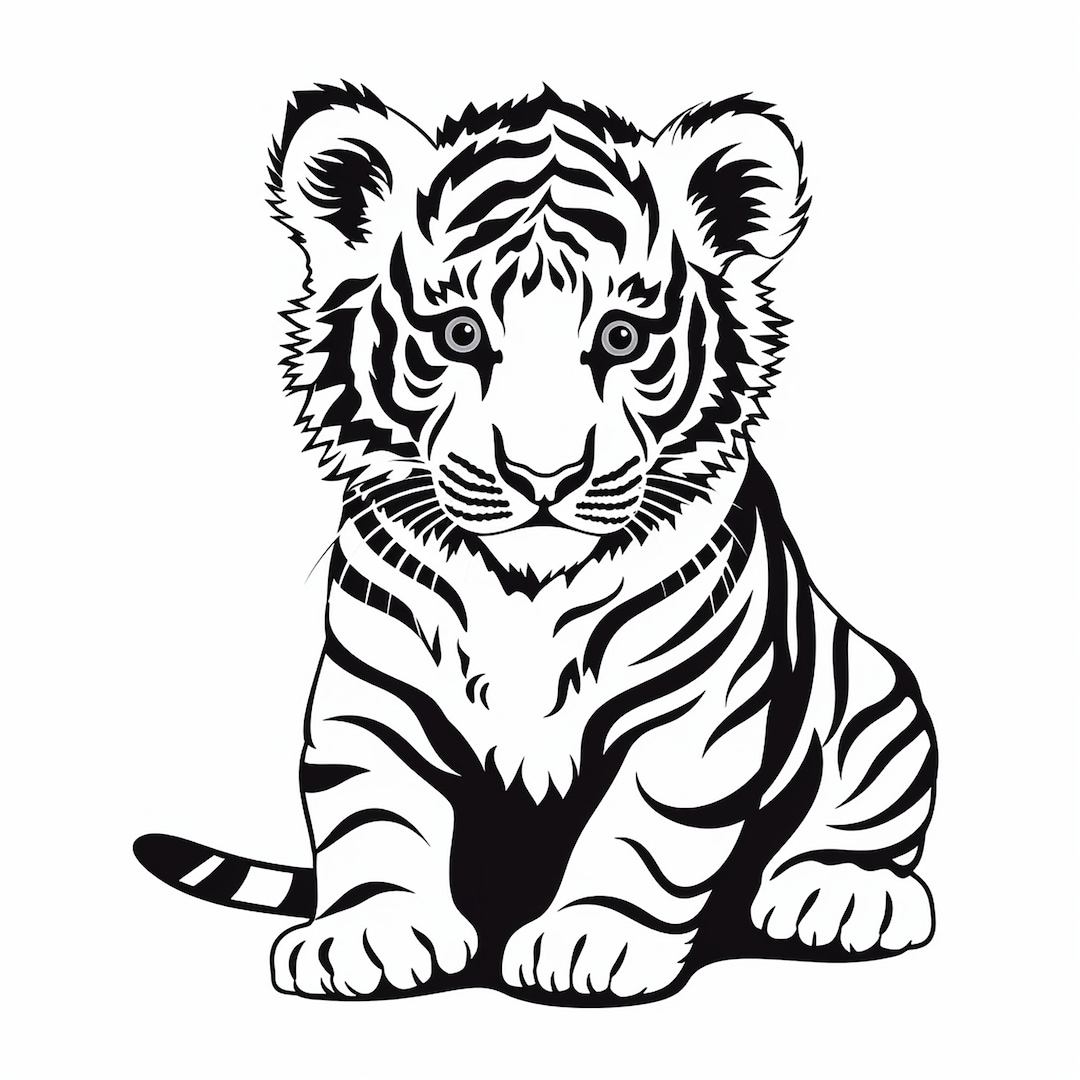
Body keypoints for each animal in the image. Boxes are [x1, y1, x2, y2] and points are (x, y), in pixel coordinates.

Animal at [134, 83, 937, 1005]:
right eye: (459, 335)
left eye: (623, 337)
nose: (542, 475)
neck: (526, 589)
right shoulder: (373, 694)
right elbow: (371, 812)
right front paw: (368, 935)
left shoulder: (694, 712)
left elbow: (646, 833)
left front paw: (594, 942)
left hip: (877, 697)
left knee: (865, 823)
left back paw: (842, 893)